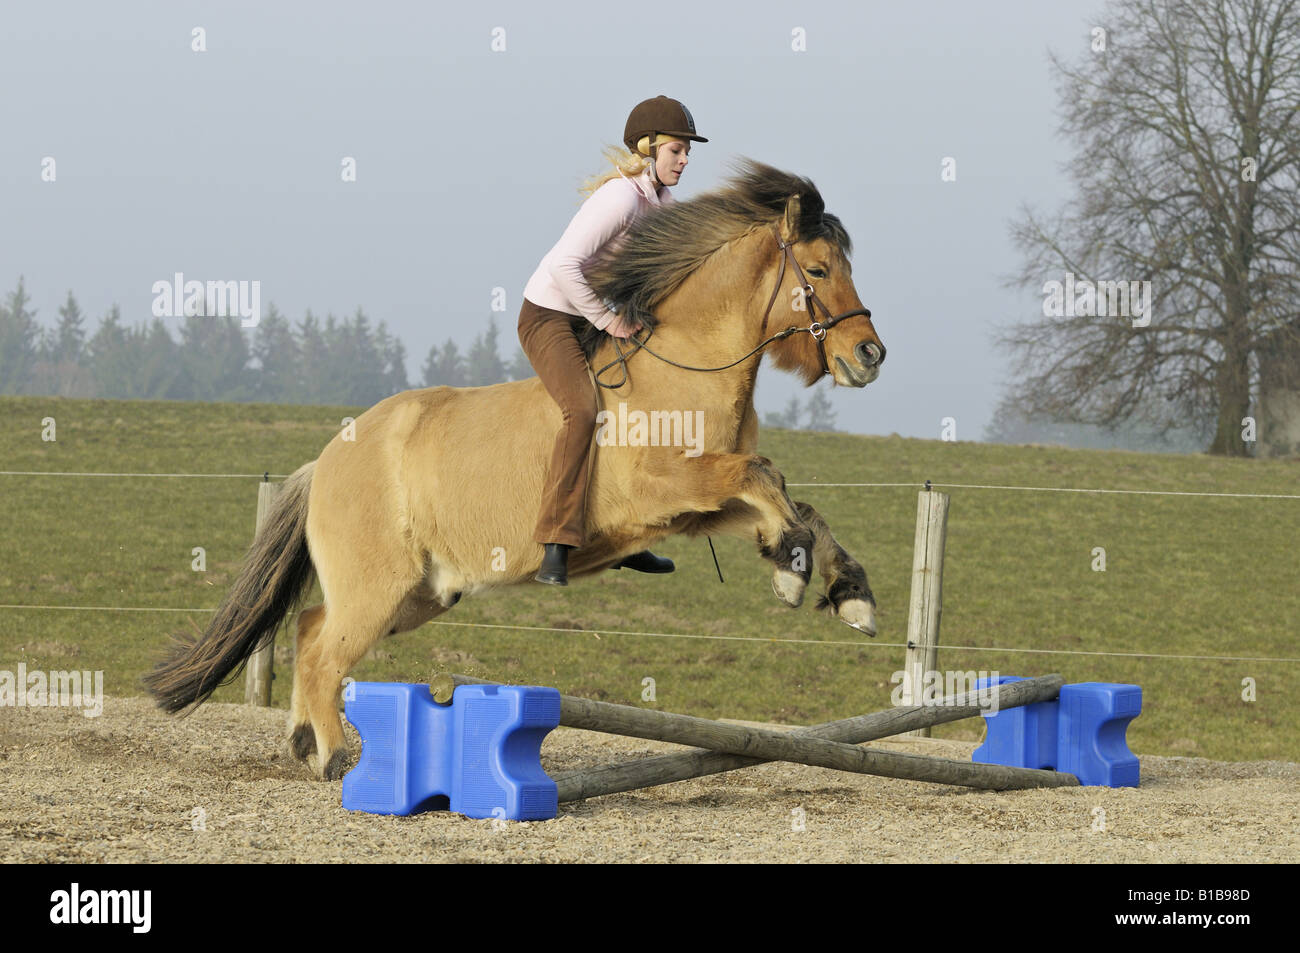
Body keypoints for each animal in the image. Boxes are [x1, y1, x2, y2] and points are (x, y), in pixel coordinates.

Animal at [143, 157, 887, 780]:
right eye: (819, 270)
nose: (870, 355)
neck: (688, 364)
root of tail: (325, 459)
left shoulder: (691, 508)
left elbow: (792, 499)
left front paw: (841, 588)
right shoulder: (666, 487)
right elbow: (764, 474)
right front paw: (792, 571)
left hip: (421, 592)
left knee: (308, 628)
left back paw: (302, 740)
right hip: (380, 588)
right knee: (327, 652)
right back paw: (330, 755)